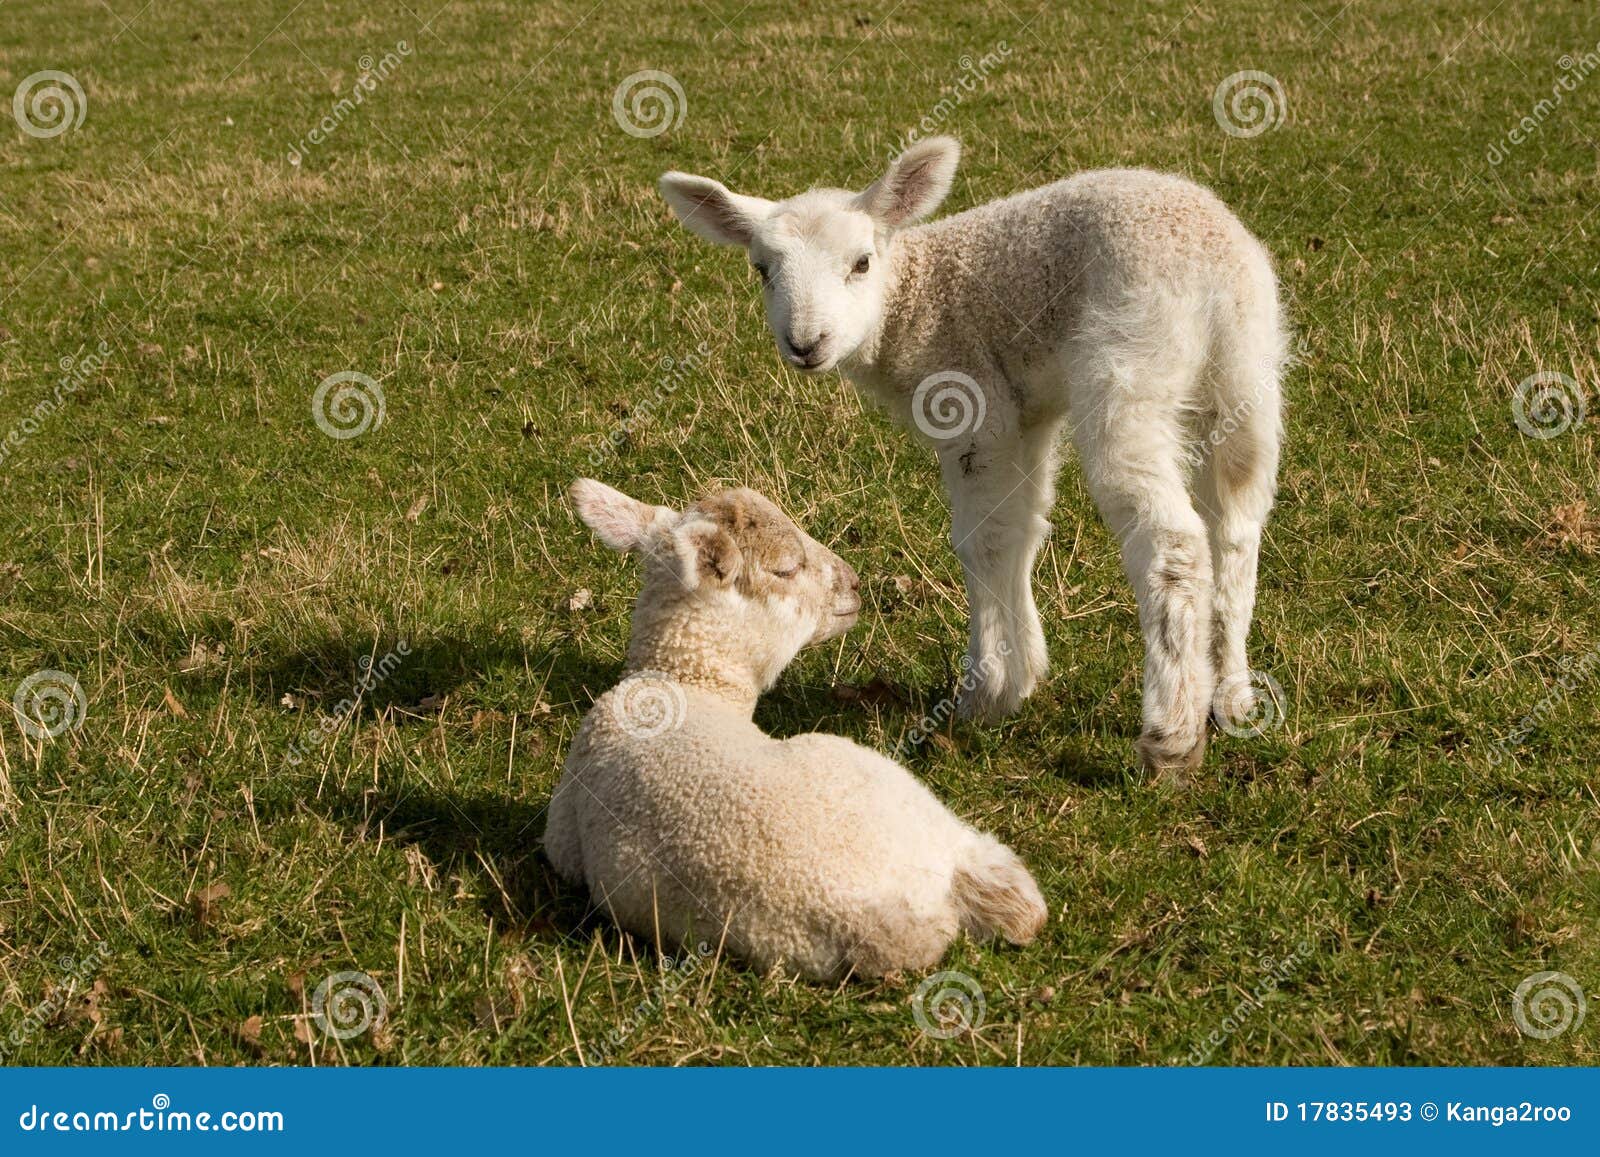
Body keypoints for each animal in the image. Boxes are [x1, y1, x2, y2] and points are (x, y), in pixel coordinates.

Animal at [544, 478, 1047, 980]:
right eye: (784, 569)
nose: (854, 583)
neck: (681, 681)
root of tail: (896, 926)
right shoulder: (561, 836)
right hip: (892, 789)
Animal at [657, 137, 1288, 776]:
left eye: (862, 263)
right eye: (762, 270)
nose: (805, 344)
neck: (912, 302)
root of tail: (1214, 272)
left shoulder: (972, 405)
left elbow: (980, 541)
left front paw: (986, 692)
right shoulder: (1024, 417)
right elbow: (1023, 531)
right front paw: (1025, 671)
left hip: (1131, 362)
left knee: (1173, 540)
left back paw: (1172, 736)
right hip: (1247, 374)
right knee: (1236, 527)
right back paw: (1232, 697)